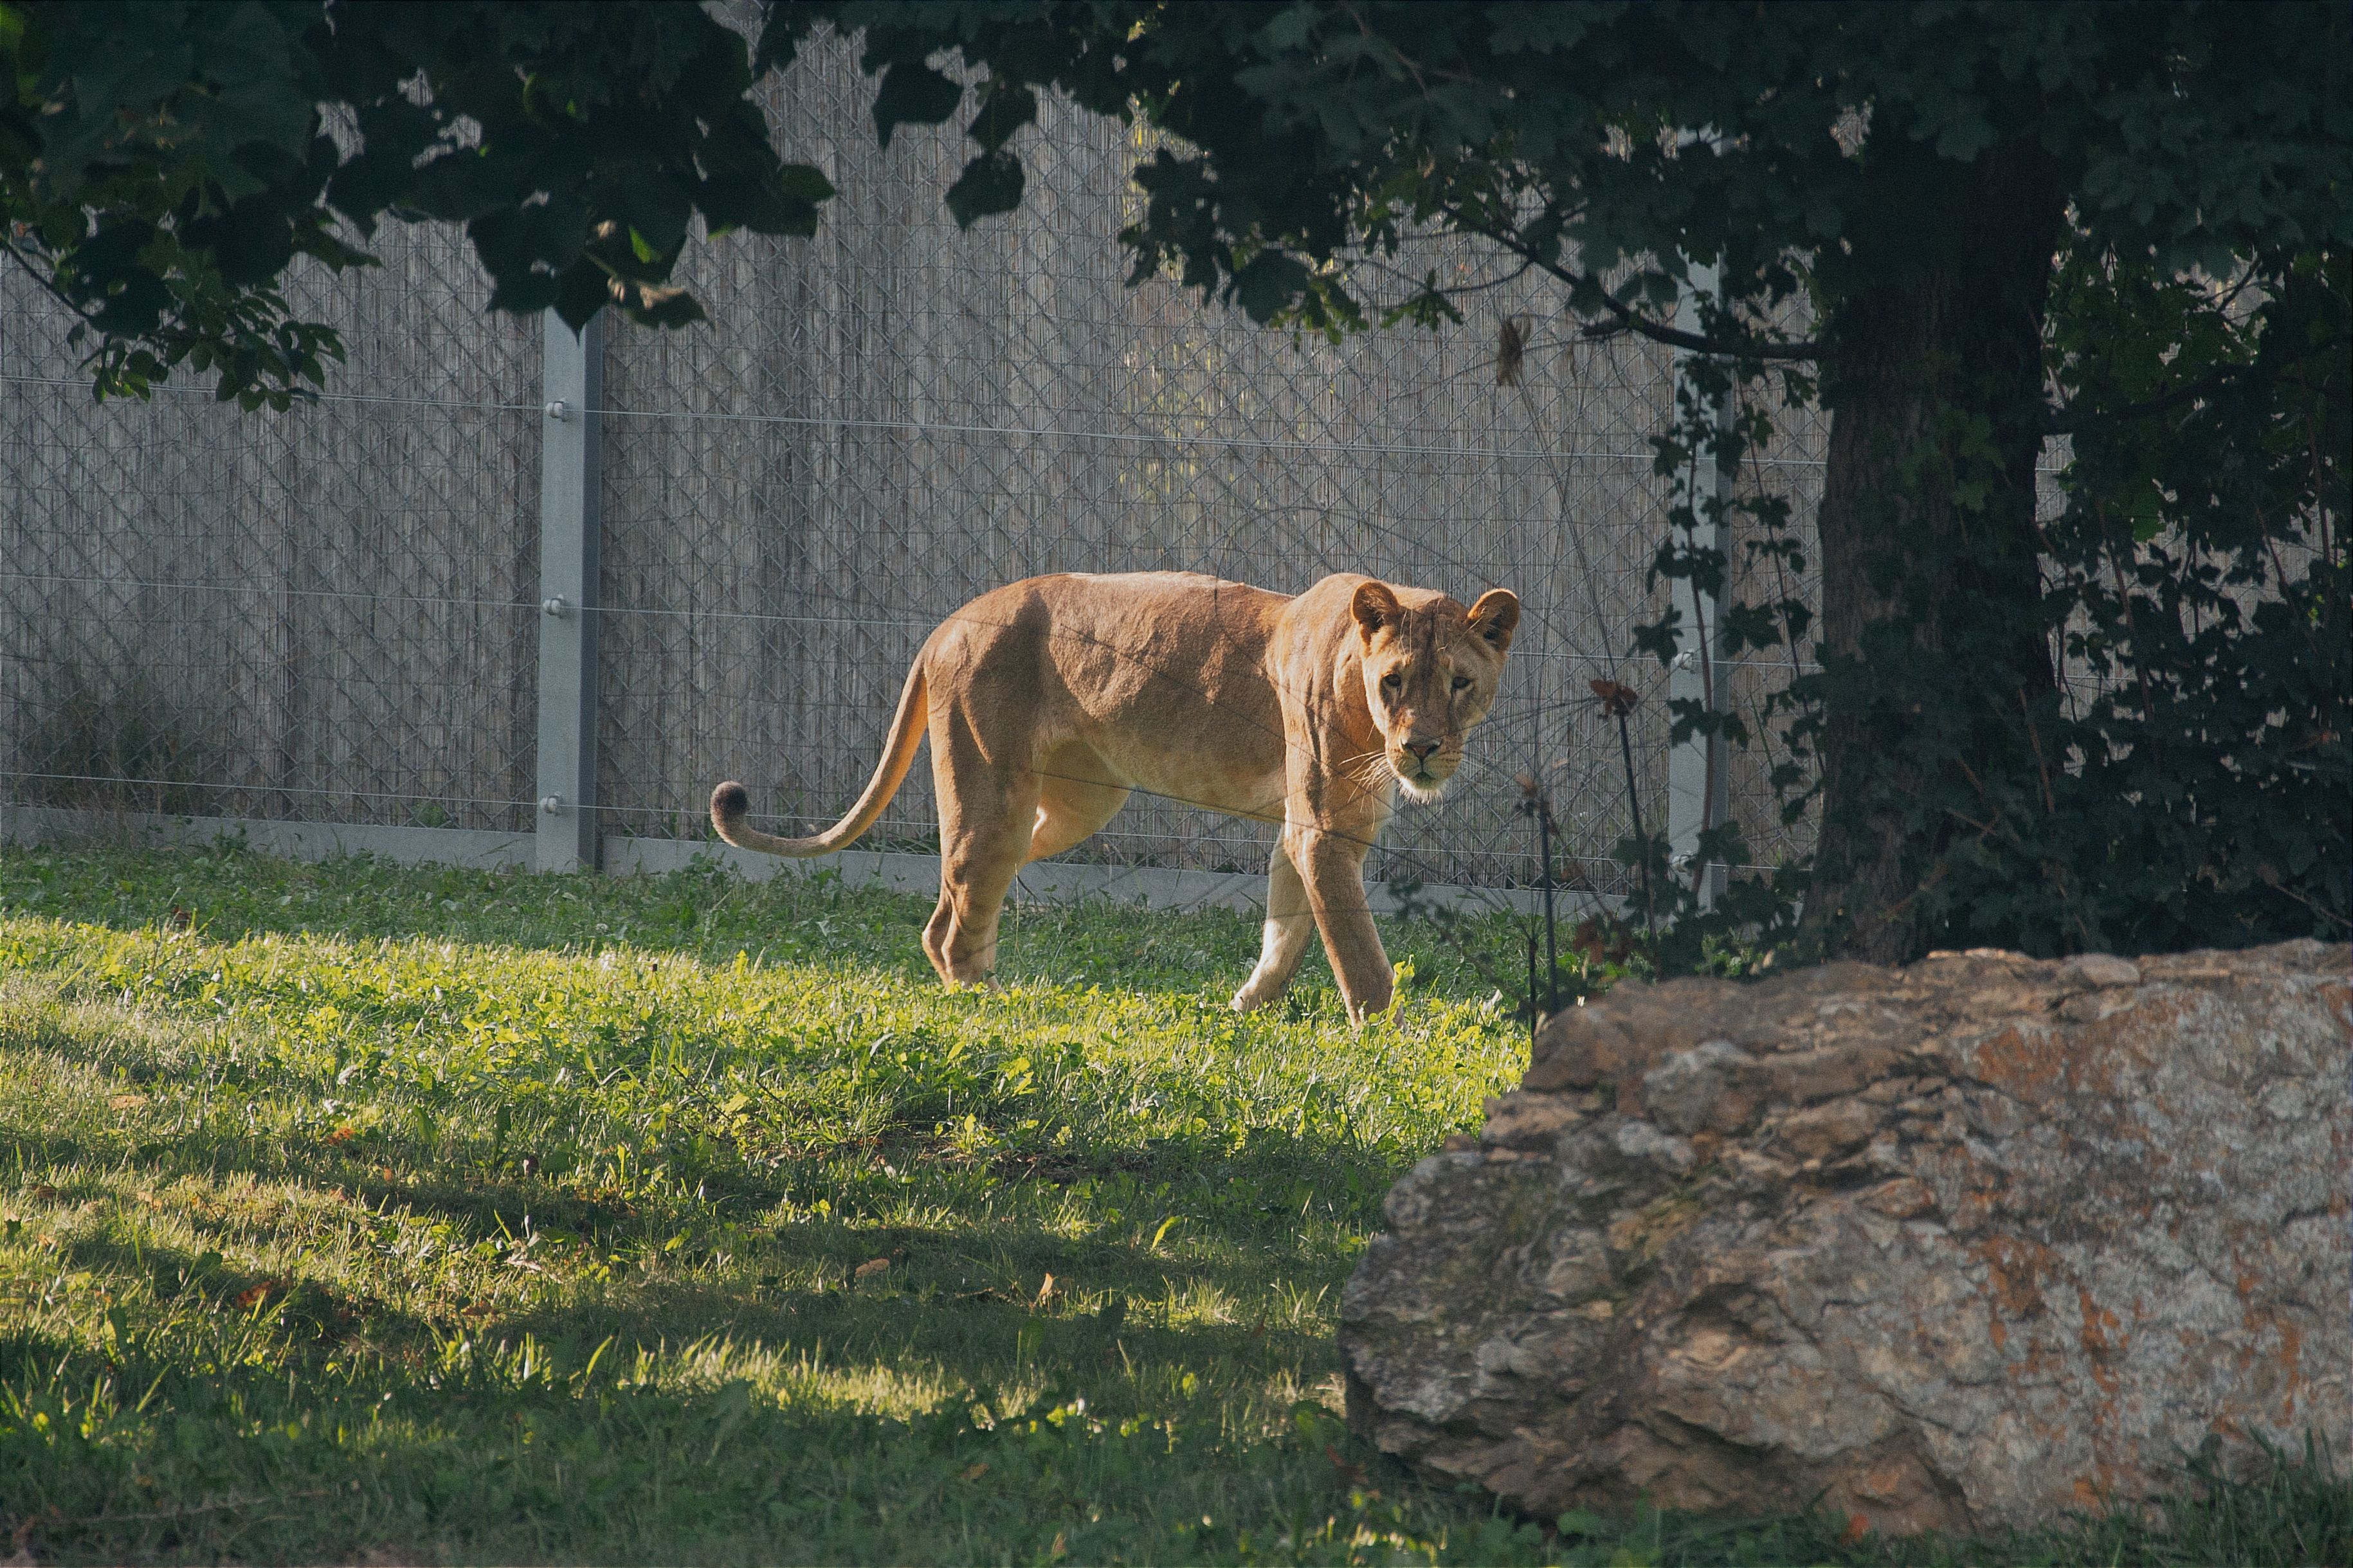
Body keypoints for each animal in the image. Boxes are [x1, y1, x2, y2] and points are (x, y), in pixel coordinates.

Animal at [710, 571, 1519, 1023]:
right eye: (1394, 681)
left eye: (1458, 682)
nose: (1421, 748)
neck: (1360, 698)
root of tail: (946, 624)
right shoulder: (1320, 830)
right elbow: (1356, 951)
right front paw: (1386, 1036)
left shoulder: (1320, 830)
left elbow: (1285, 930)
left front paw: (1247, 1009)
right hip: (992, 791)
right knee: (954, 913)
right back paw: (990, 1010)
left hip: (1070, 807)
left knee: (955, 902)